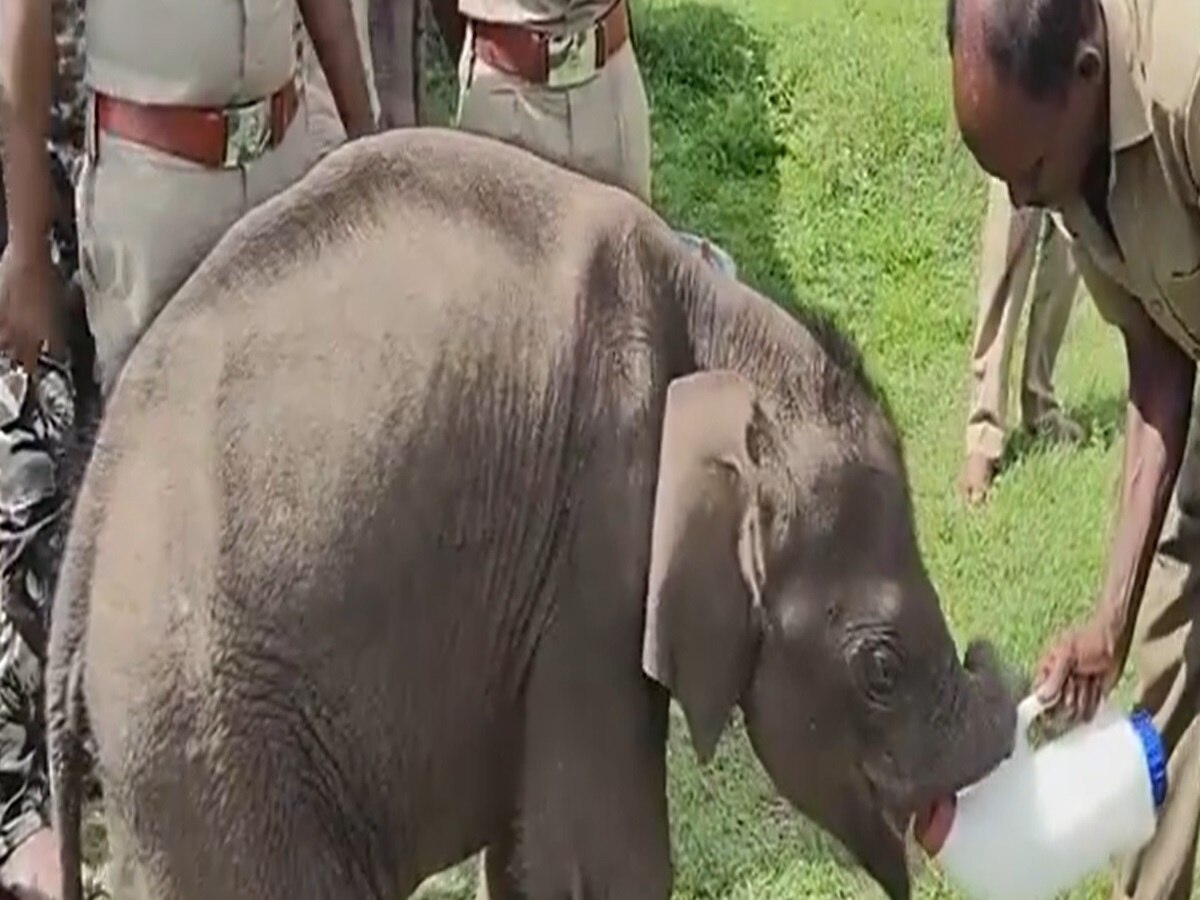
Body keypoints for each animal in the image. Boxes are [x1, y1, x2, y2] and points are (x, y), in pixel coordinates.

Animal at [46, 126, 1017, 900]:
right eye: (880, 667)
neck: (718, 317)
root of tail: (84, 541)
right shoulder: (597, 533)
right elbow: (602, 863)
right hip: (218, 745)